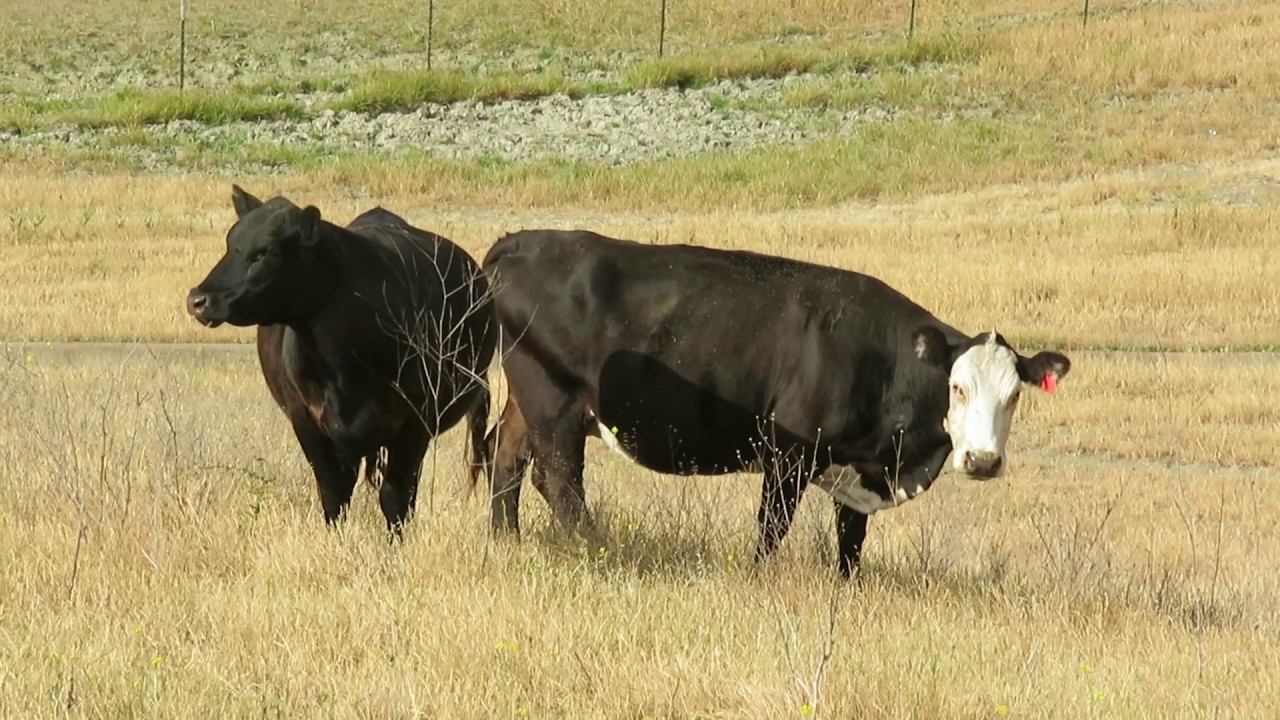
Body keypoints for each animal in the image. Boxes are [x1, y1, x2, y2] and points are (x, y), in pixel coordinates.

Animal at [186, 185, 497, 532]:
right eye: (231, 242)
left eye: (267, 251)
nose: (199, 299)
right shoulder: (307, 420)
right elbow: (334, 493)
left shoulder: (416, 423)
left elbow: (396, 497)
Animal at [473, 228, 1071, 577]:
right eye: (958, 386)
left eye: (1014, 395)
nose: (983, 461)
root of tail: (525, 240)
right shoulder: (788, 454)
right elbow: (771, 525)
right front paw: (757, 577)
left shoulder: (856, 467)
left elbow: (851, 541)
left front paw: (844, 587)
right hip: (552, 401)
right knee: (558, 478)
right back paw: (597, 551)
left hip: (527, 402)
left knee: (507, 459)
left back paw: (506, 541)